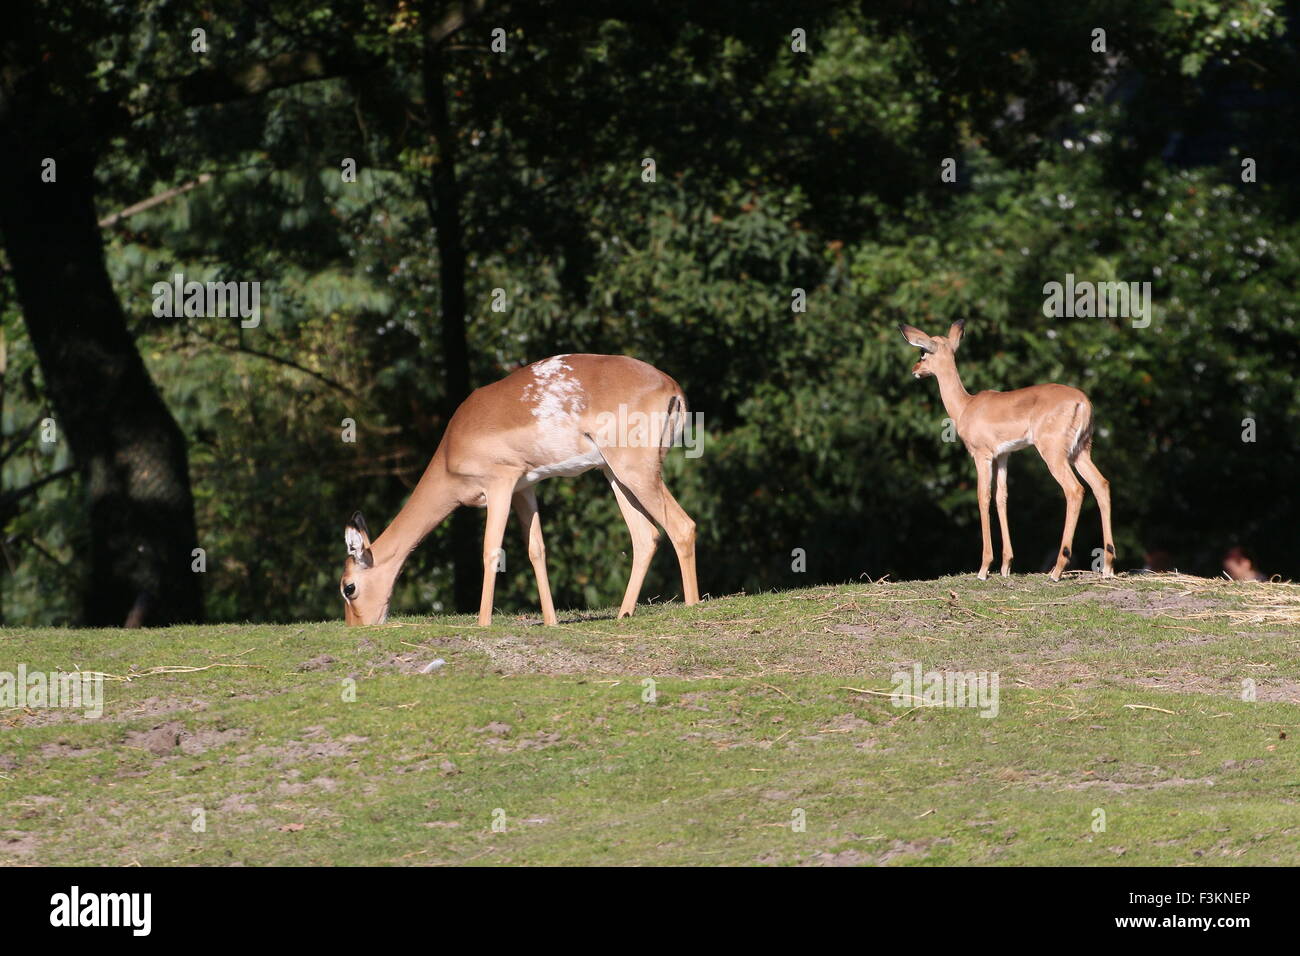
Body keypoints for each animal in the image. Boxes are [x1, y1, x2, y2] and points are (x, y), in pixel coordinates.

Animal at [340, 354, 700, 626]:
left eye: (348, 587)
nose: (357, 626)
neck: (451, 449)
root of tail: (672, 387)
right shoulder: (524, 489)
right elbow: (536, 549)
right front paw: (551, 621)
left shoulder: (499, 484)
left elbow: (490, 550)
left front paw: (483, 623)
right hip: (615, 474)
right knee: (646, 535)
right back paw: (623, 614)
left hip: (635, 470)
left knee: (682, 526)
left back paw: (692, 606)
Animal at [899, 320, 1115, 581]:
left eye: (923, 352)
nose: (915, 369)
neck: (965, 406)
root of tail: (1083, 401)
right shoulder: (1003, 456)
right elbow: (1001, 498)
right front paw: (1006, 566)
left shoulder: (981, 455)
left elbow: (983, 497)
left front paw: (984, 568)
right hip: (1080, 452)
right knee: (1101, 484)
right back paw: (1108, 567)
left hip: (1054, 454)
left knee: (1074, 490)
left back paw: (1057, 570)